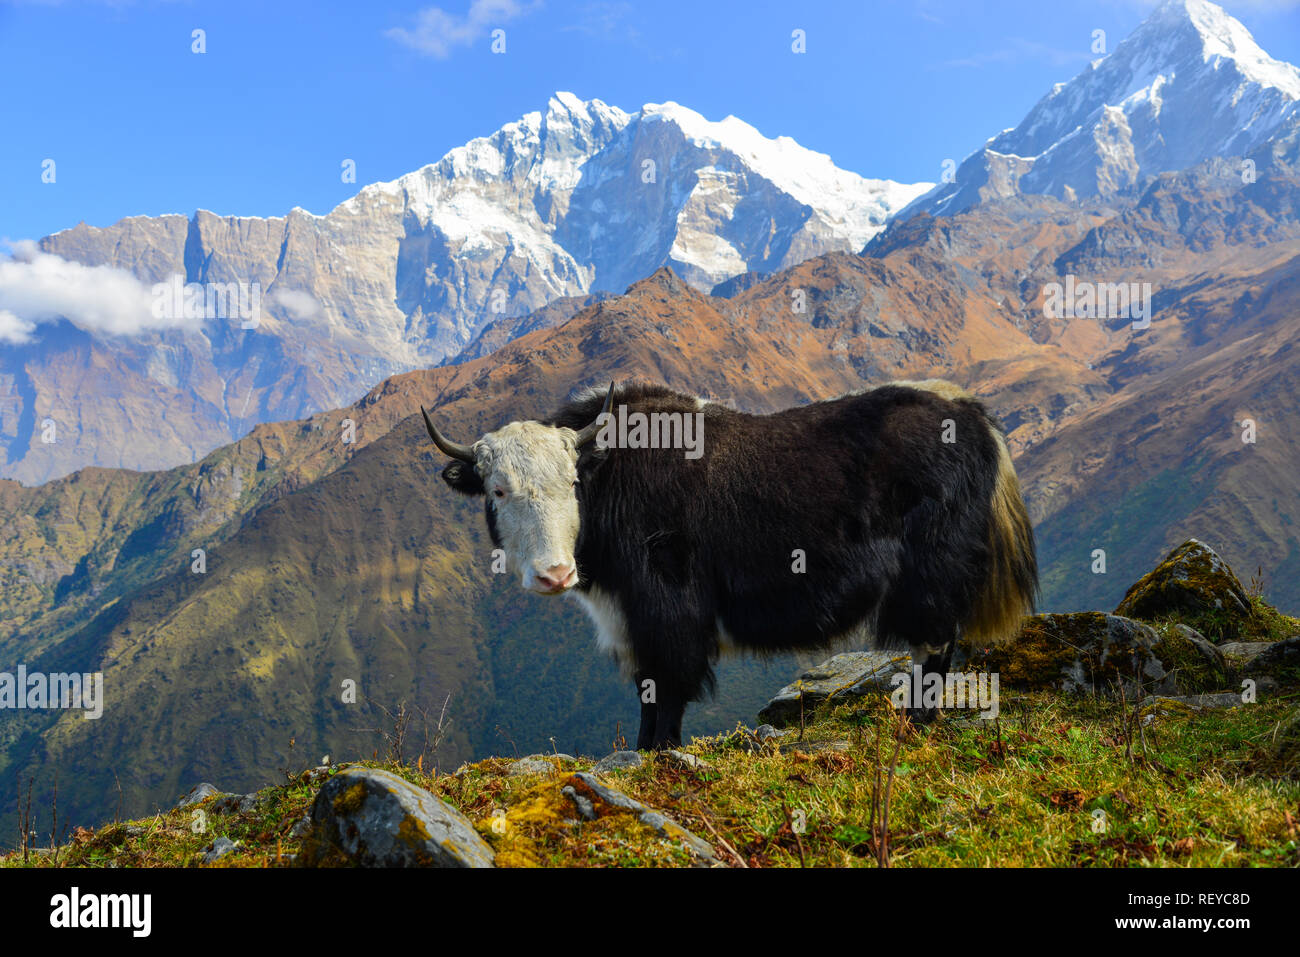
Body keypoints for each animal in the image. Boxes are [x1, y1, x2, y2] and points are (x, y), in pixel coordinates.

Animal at [422, 379, 1037, 750]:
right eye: (498, 491)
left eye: (571, 482)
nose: (555, 575)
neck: (610, 476)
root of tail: (974, 418)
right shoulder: (633, 625)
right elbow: (646, 693)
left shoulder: (669, 615)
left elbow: (667, 694)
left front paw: (658, 755)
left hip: (932, 575)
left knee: (934, 645)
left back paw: (915, 725)